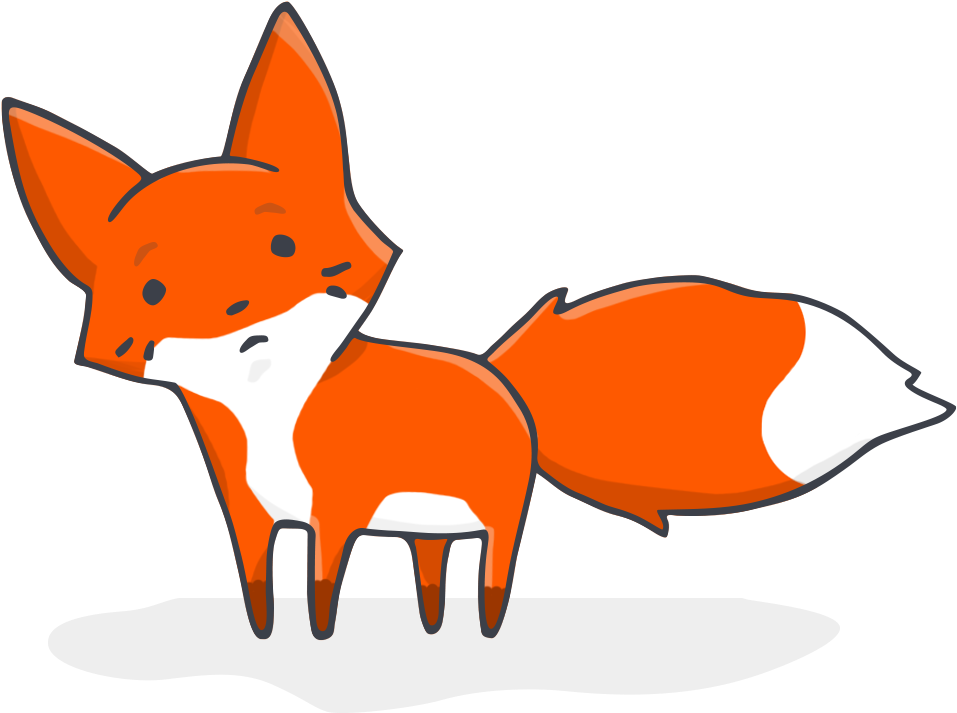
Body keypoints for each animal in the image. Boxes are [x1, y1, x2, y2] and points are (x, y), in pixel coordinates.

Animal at [4, 2, 952, 640]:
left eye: (281, 245)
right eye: (154, 289)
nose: (240, 314)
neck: (272, 419)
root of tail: (502, 377)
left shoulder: (340, 506)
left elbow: (322, 584)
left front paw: (319, 642)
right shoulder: (243, 508)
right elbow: (256, 585)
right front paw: (268, 641)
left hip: (487, 511)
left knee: (494, 571)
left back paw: (487, 630)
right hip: (428, 524)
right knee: (434, 577)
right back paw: (433, 629)